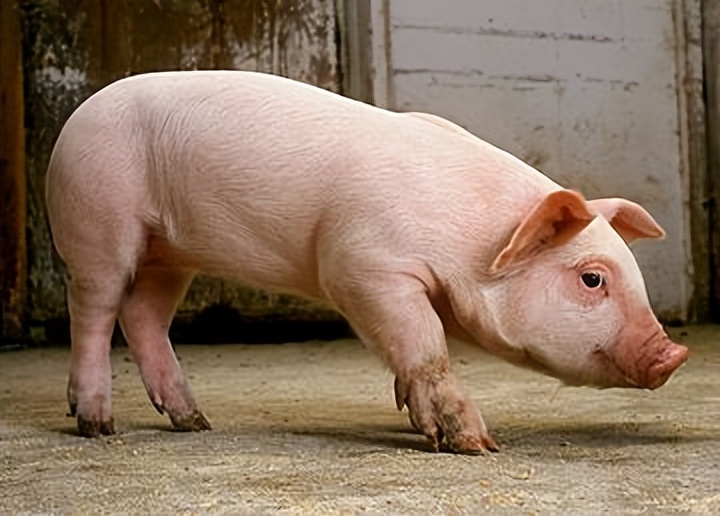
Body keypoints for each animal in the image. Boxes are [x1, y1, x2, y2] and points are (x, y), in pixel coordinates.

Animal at [46, 71, 688, 454]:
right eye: (592, 278)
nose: (673, 353)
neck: (471, 244)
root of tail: (77, 114)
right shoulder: (364, 266)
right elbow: (427, 346)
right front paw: (476, 444)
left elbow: (410, 354)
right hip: (98, 222)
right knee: (94, 309)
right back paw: (97, 425)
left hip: (170, 252)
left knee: (144, 316)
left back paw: (194, 422)